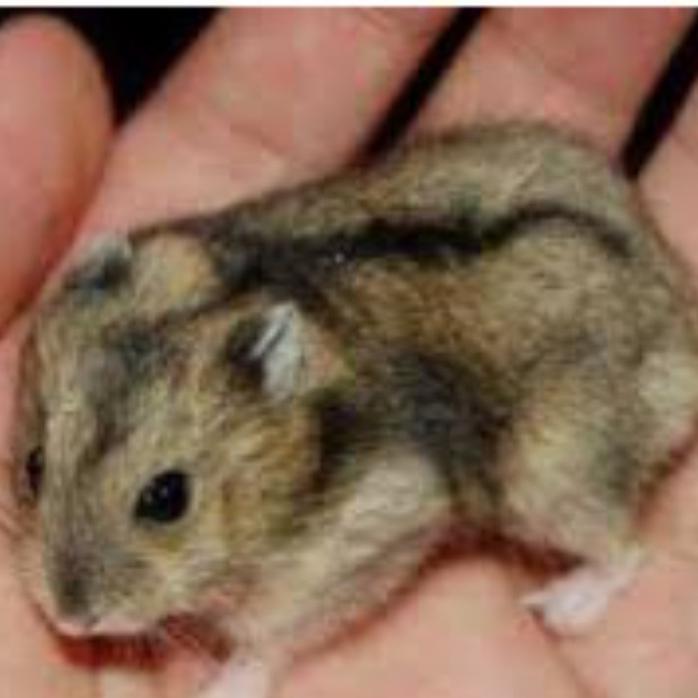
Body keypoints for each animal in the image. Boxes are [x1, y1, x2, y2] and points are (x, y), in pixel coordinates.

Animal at [11, 122, 698, 698]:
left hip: (550, 478)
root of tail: (682, 328)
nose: (69, 620)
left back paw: (558, 607)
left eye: (167, 499)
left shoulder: (361, 545)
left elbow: (269, 641)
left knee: (624, 549)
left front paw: (222, 687)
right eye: (33, 466)